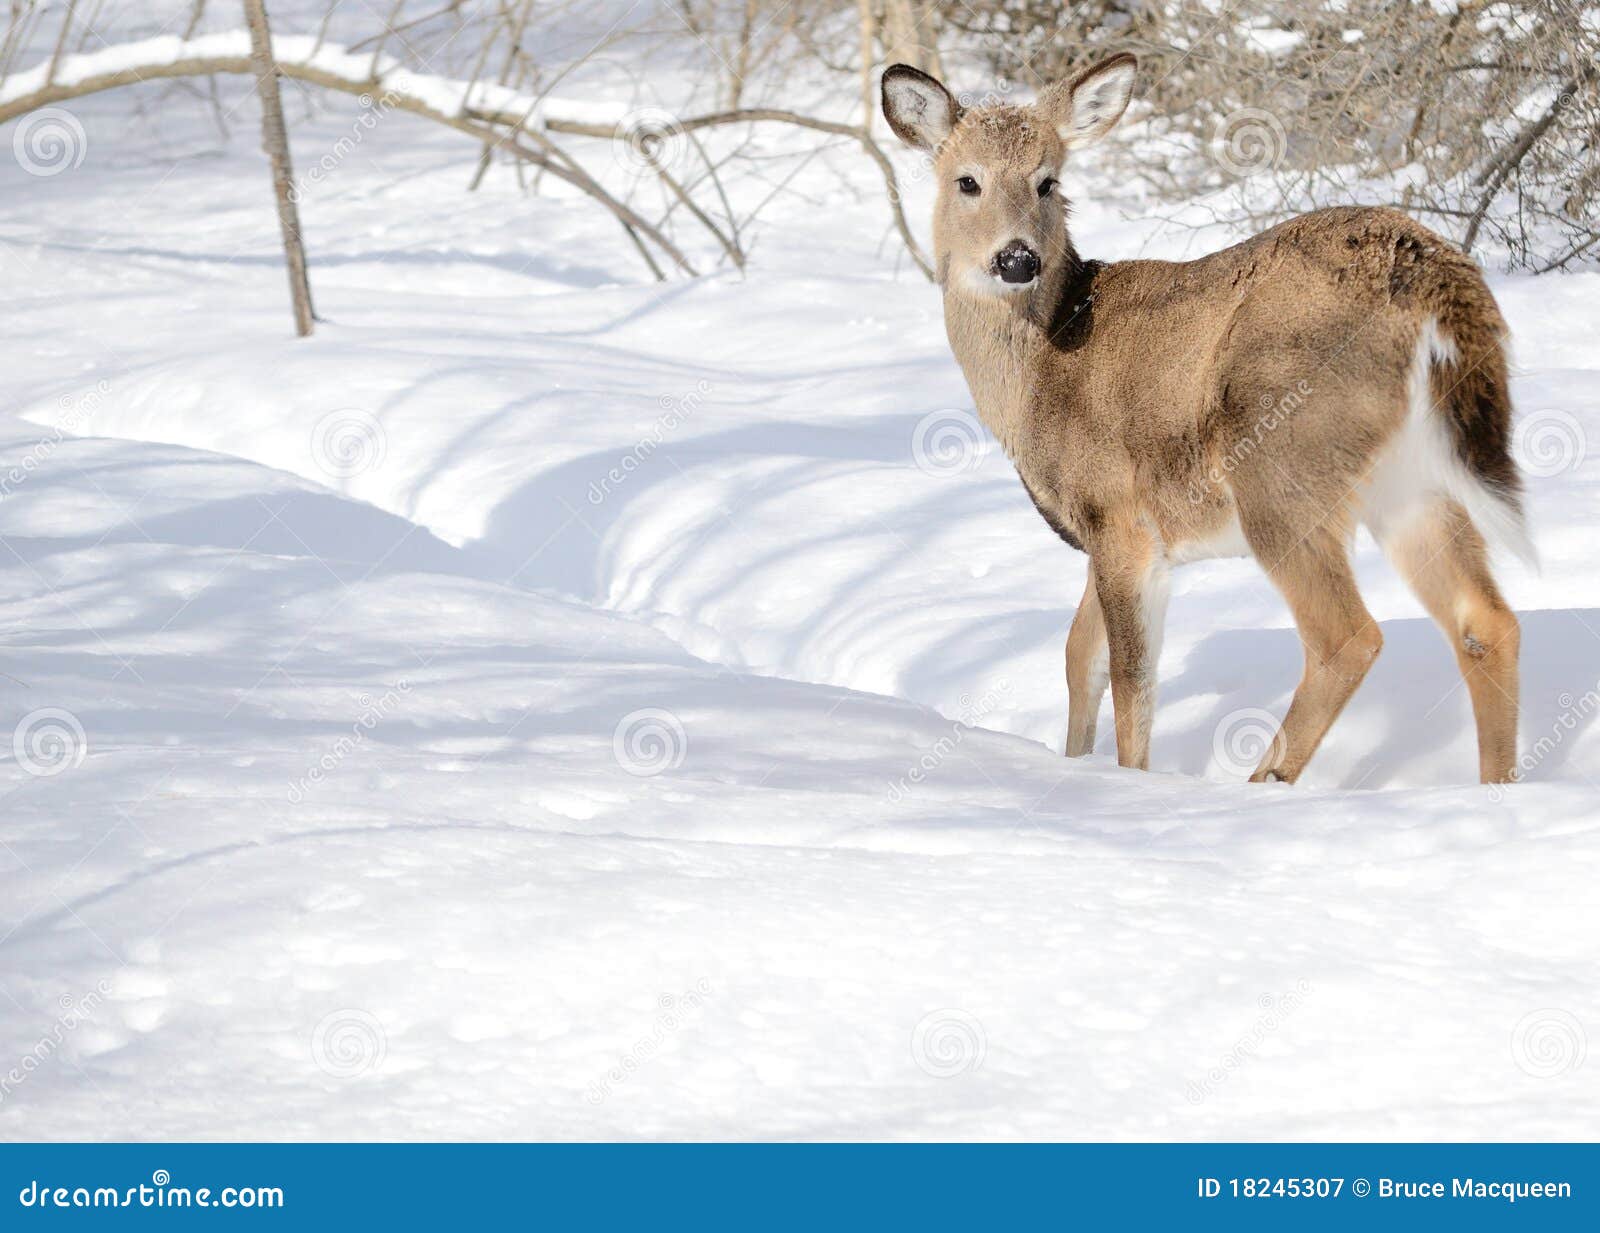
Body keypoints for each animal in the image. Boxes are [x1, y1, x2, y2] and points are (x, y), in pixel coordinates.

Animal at [881, 53, 1533, 785]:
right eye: (967, 180)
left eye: (1048, 181)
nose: (1017, 258)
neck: (1042, 367)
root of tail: (1430, 270)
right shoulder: (1115, 533)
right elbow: (1080, 655)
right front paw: (1074, 765)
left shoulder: (1118, 513)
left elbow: (1132, 676)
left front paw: (1129, 781)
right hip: (1412, 479)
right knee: (1487, 622)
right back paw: (1495, 789)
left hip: (1284, 462)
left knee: (1348, 636)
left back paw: (1262, 784)